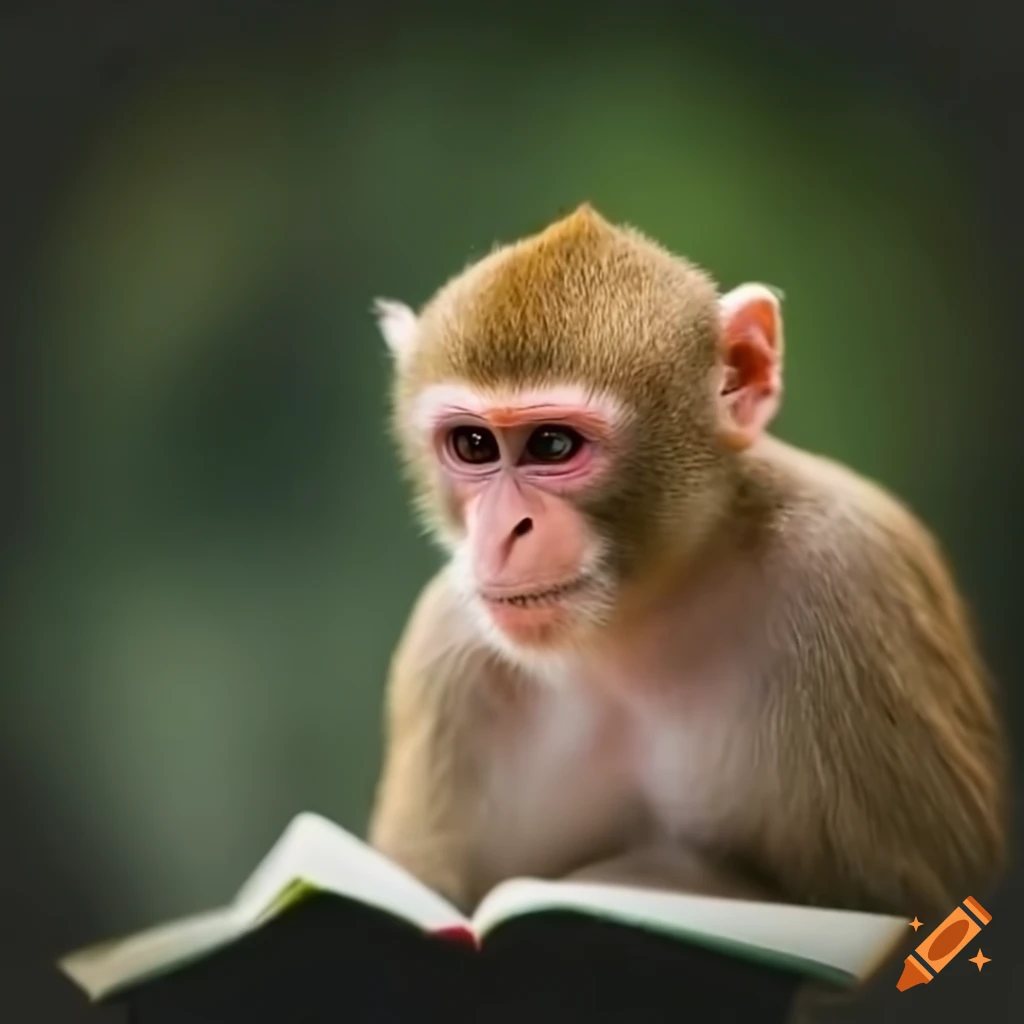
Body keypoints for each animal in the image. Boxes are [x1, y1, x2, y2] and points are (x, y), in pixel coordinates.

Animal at [366, 203, 1009, 923]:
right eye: (474, 445)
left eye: (553, 444)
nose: (504, 532)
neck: (642, 621)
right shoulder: (447, 655)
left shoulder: (852, 573)